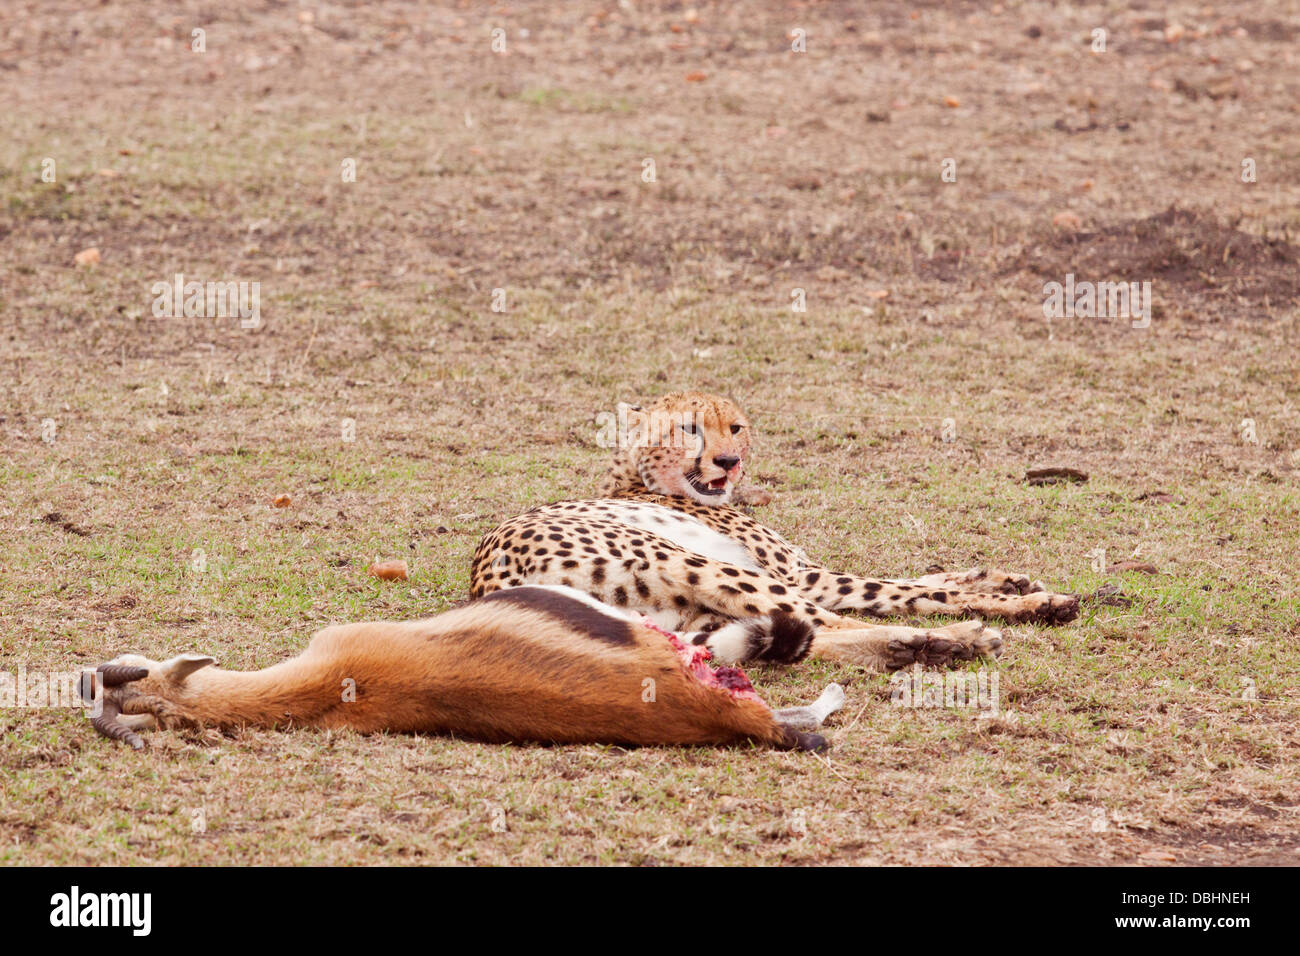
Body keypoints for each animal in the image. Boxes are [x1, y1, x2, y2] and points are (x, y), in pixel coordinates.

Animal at [470, 391, 1080, 672]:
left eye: (736, 427)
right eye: (689, 429)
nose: (729, 461)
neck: (636, 478)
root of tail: (489, 584)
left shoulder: (804, 572)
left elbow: (924, 578)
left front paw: (1008, 580)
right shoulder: (801, 575)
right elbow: (911, 590)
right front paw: (1032, 602)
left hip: (687, 613)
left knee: (804, 635)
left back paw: (920, 646)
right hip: (701, 566)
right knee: (825, 624)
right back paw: (950, 640)